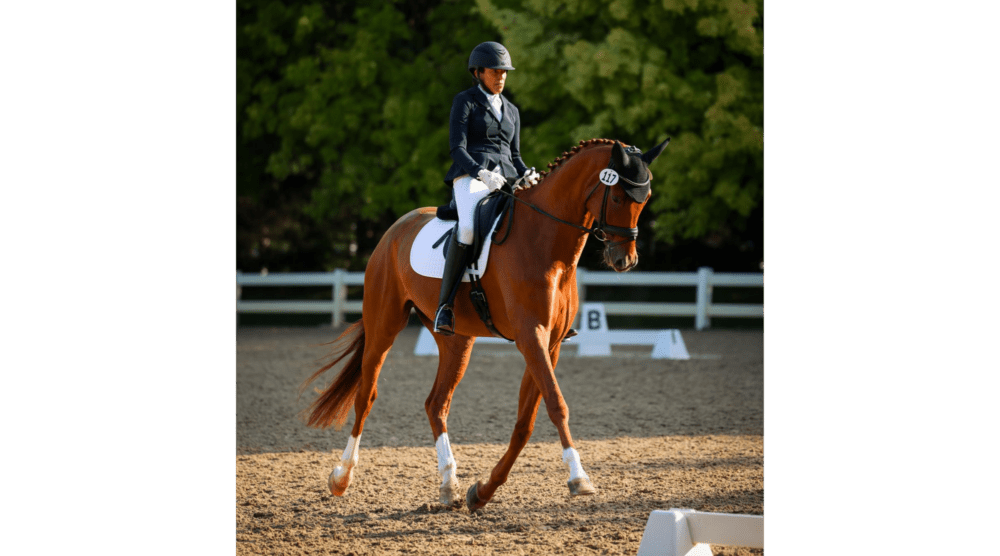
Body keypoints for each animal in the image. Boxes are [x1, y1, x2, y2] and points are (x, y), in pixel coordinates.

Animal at [301, 136, 670, 511]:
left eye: (646, 198)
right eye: (619, 197)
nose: (625, 260)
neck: (545, 243)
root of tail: (395, 228)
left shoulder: (549, 343)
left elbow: (526, 420)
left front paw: (482, 491)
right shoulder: (530, 336)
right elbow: (556, 404)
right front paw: (579, 477)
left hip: (456, 340)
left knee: (436, 403)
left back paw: (449, 485)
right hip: (383, 325)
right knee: (366, 395)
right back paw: (341, 477)